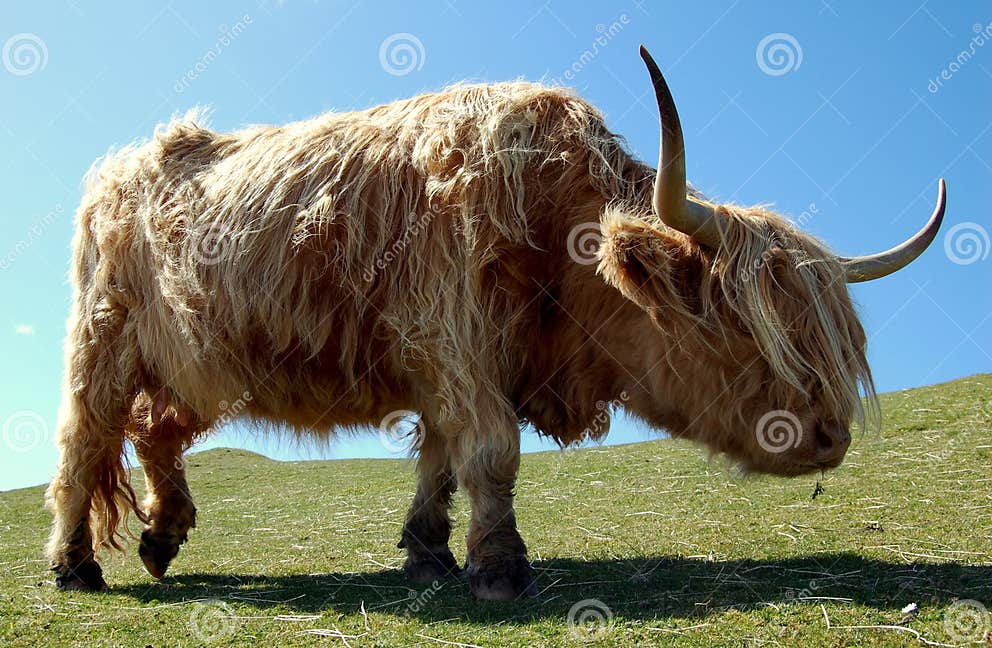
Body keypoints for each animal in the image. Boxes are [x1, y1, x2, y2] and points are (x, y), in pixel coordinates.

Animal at [46, 46, 945, 600]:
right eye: (743, 327)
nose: (830, 435)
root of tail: (124, 161)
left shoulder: (454, 362)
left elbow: (442, 460)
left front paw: (429, 553)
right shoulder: (457, 339)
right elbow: (490, 452)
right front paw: (500, 568)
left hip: (197, 360)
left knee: (156, 431)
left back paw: (163, 535)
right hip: (104, 337)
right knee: (87, 437)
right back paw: (73, 566)